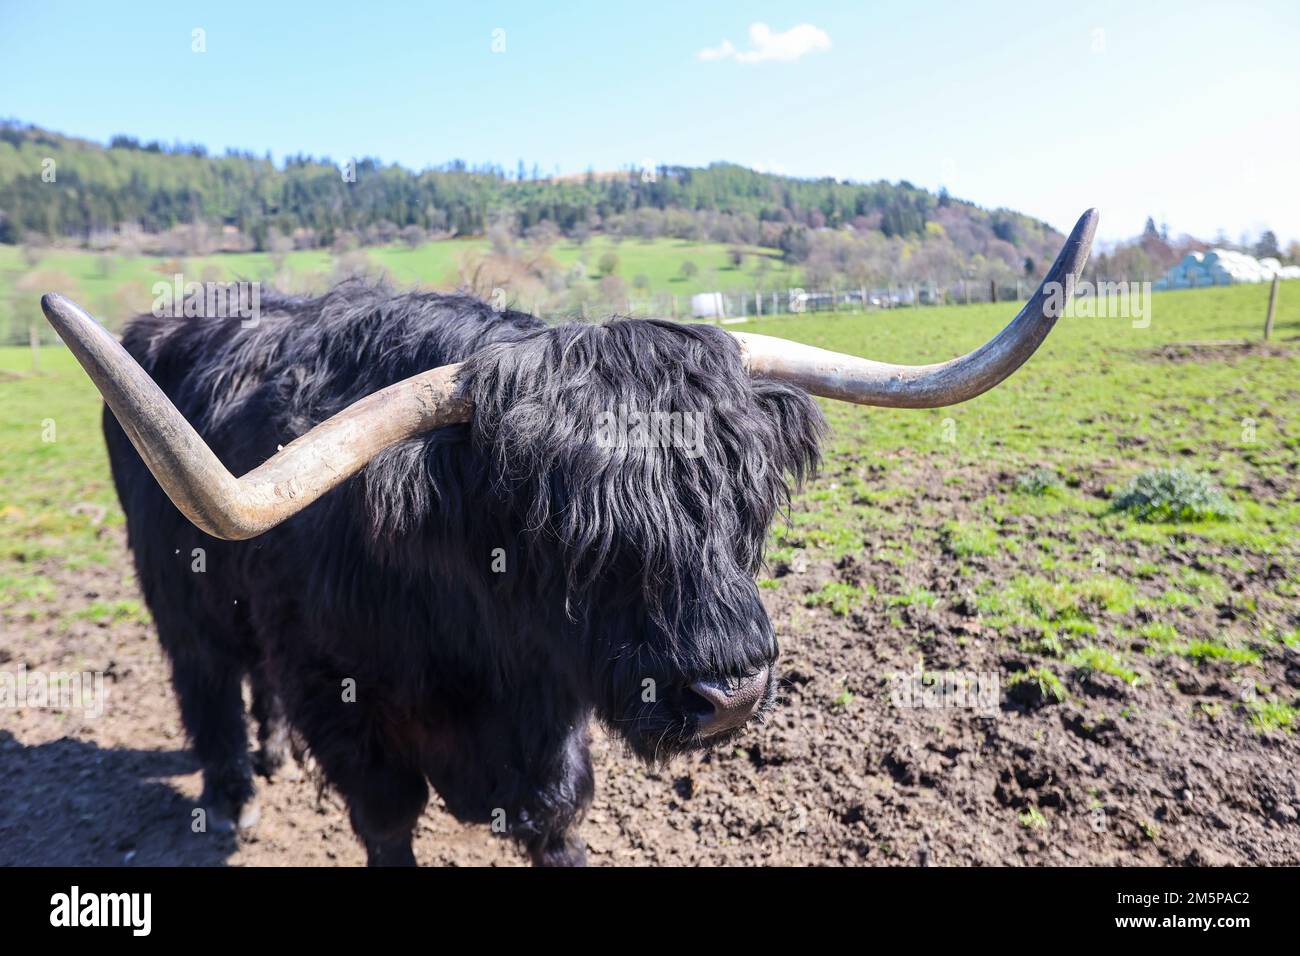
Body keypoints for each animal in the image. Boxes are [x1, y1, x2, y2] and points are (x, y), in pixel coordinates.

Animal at [40, 210, 1095, 865]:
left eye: (741, 501)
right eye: (567, 531)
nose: (729, 691)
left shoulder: (550, 734)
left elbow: (555, 819)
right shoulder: (346, 709)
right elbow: (385, 822)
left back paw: (271, 757)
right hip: (172, 589)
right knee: (206, 679)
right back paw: (233, 794)